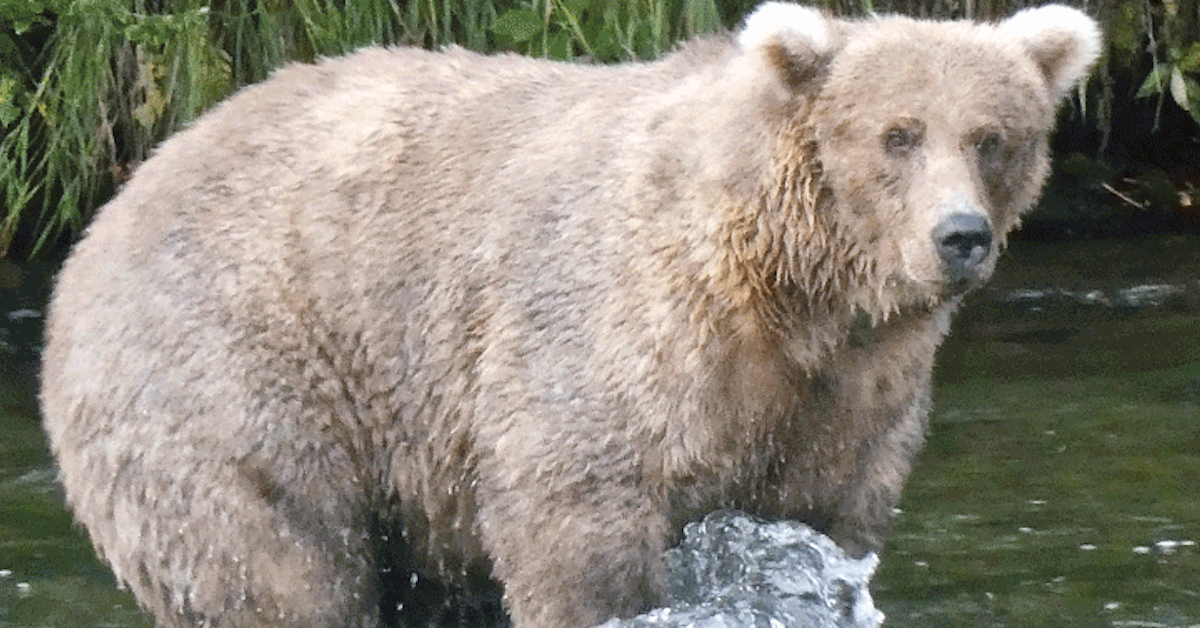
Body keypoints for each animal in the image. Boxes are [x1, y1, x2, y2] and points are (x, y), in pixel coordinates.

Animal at [40, 3, 1101, 627]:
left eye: (994, 137)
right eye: (897, 134)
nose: (959, 235)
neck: (790, 293)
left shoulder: (845, 397)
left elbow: (828, 525)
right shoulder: (622, 331)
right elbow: (576, 511)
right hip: (239, 371)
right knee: (278, 563)